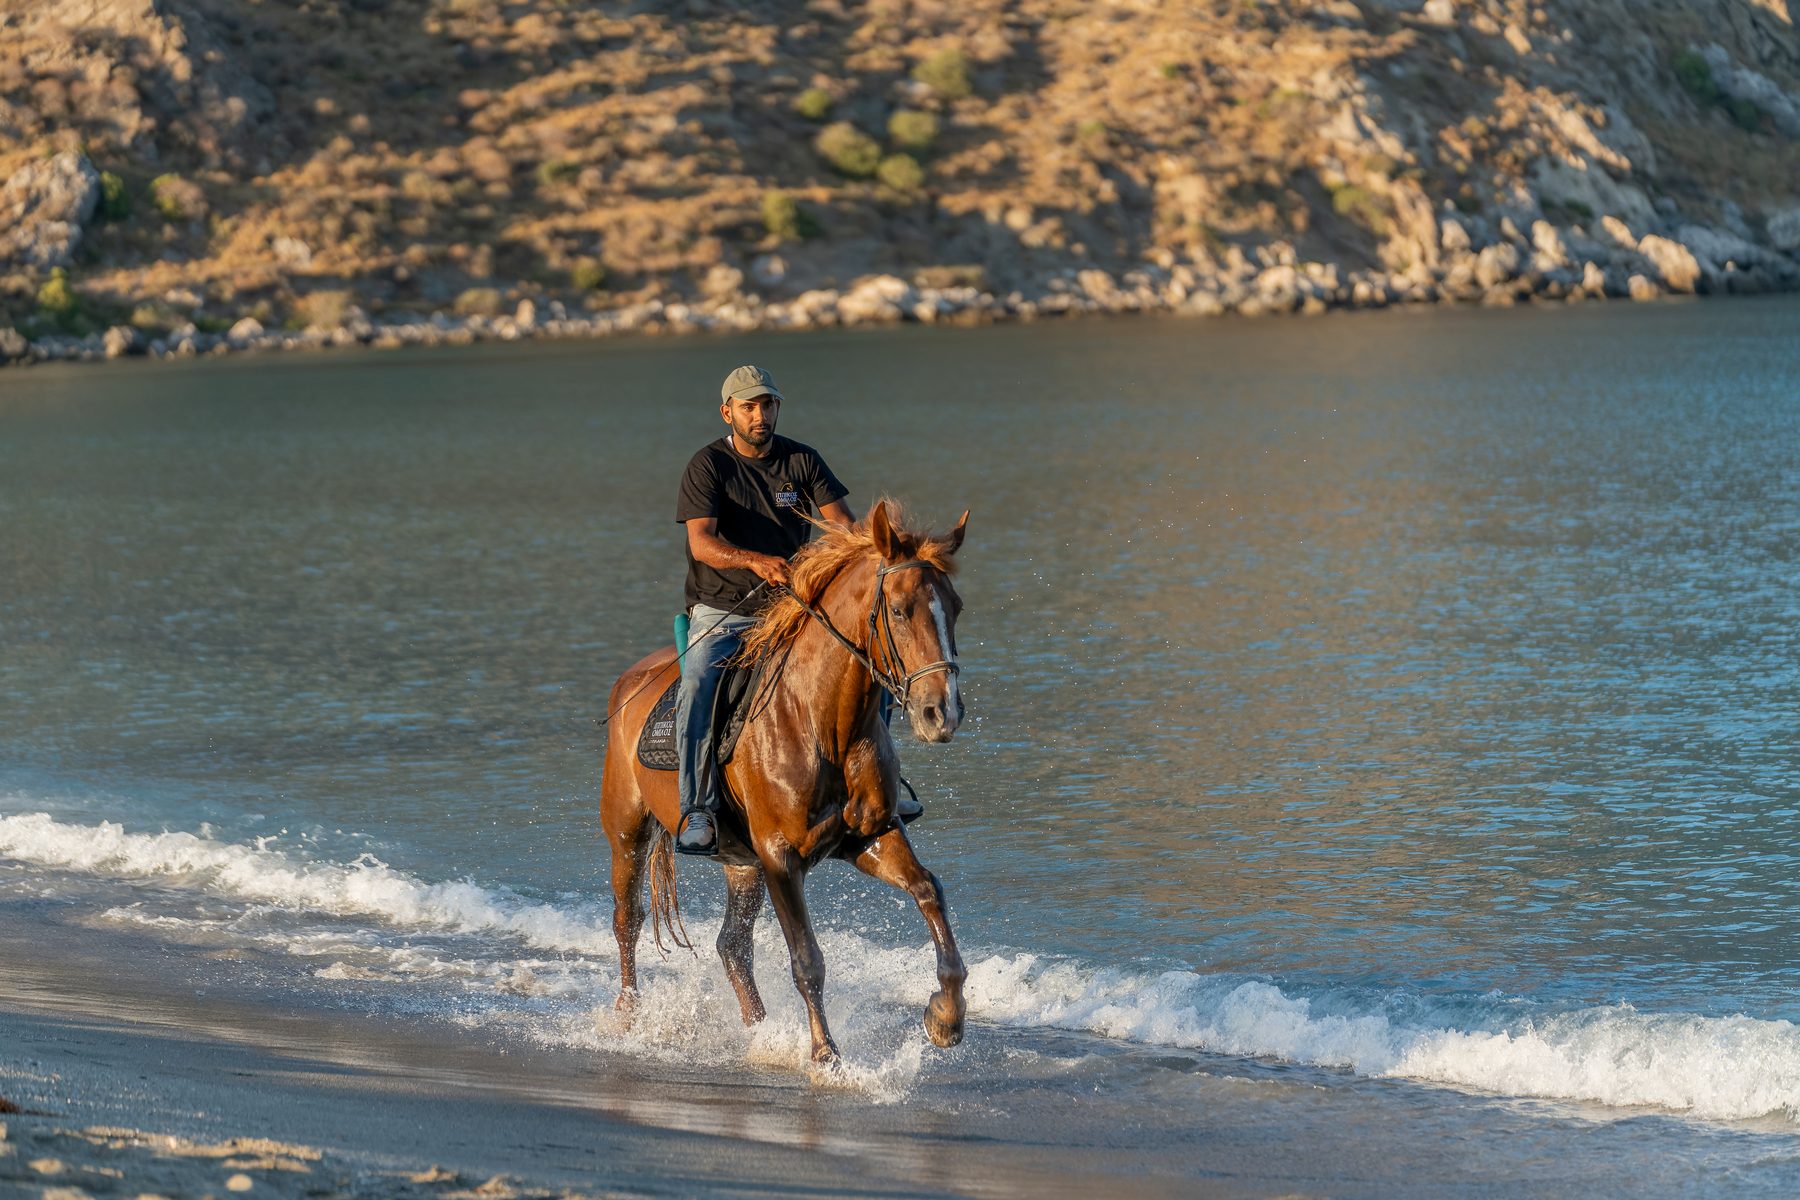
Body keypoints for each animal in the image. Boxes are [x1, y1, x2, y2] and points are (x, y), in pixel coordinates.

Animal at [598, 499, 969, 1065]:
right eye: (901, 610)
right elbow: (807, 958)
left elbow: (929, 891)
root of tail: (631, 679)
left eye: (956, 607)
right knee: (628, 920)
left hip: (741, 863)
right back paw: (627, 1016)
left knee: (732, 945)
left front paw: (945, 1017)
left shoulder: (870, 837)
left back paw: (758, 1030)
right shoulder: (779, 855)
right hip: (628, 832)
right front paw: (825, 1056)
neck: (821, 721)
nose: (941, 713)